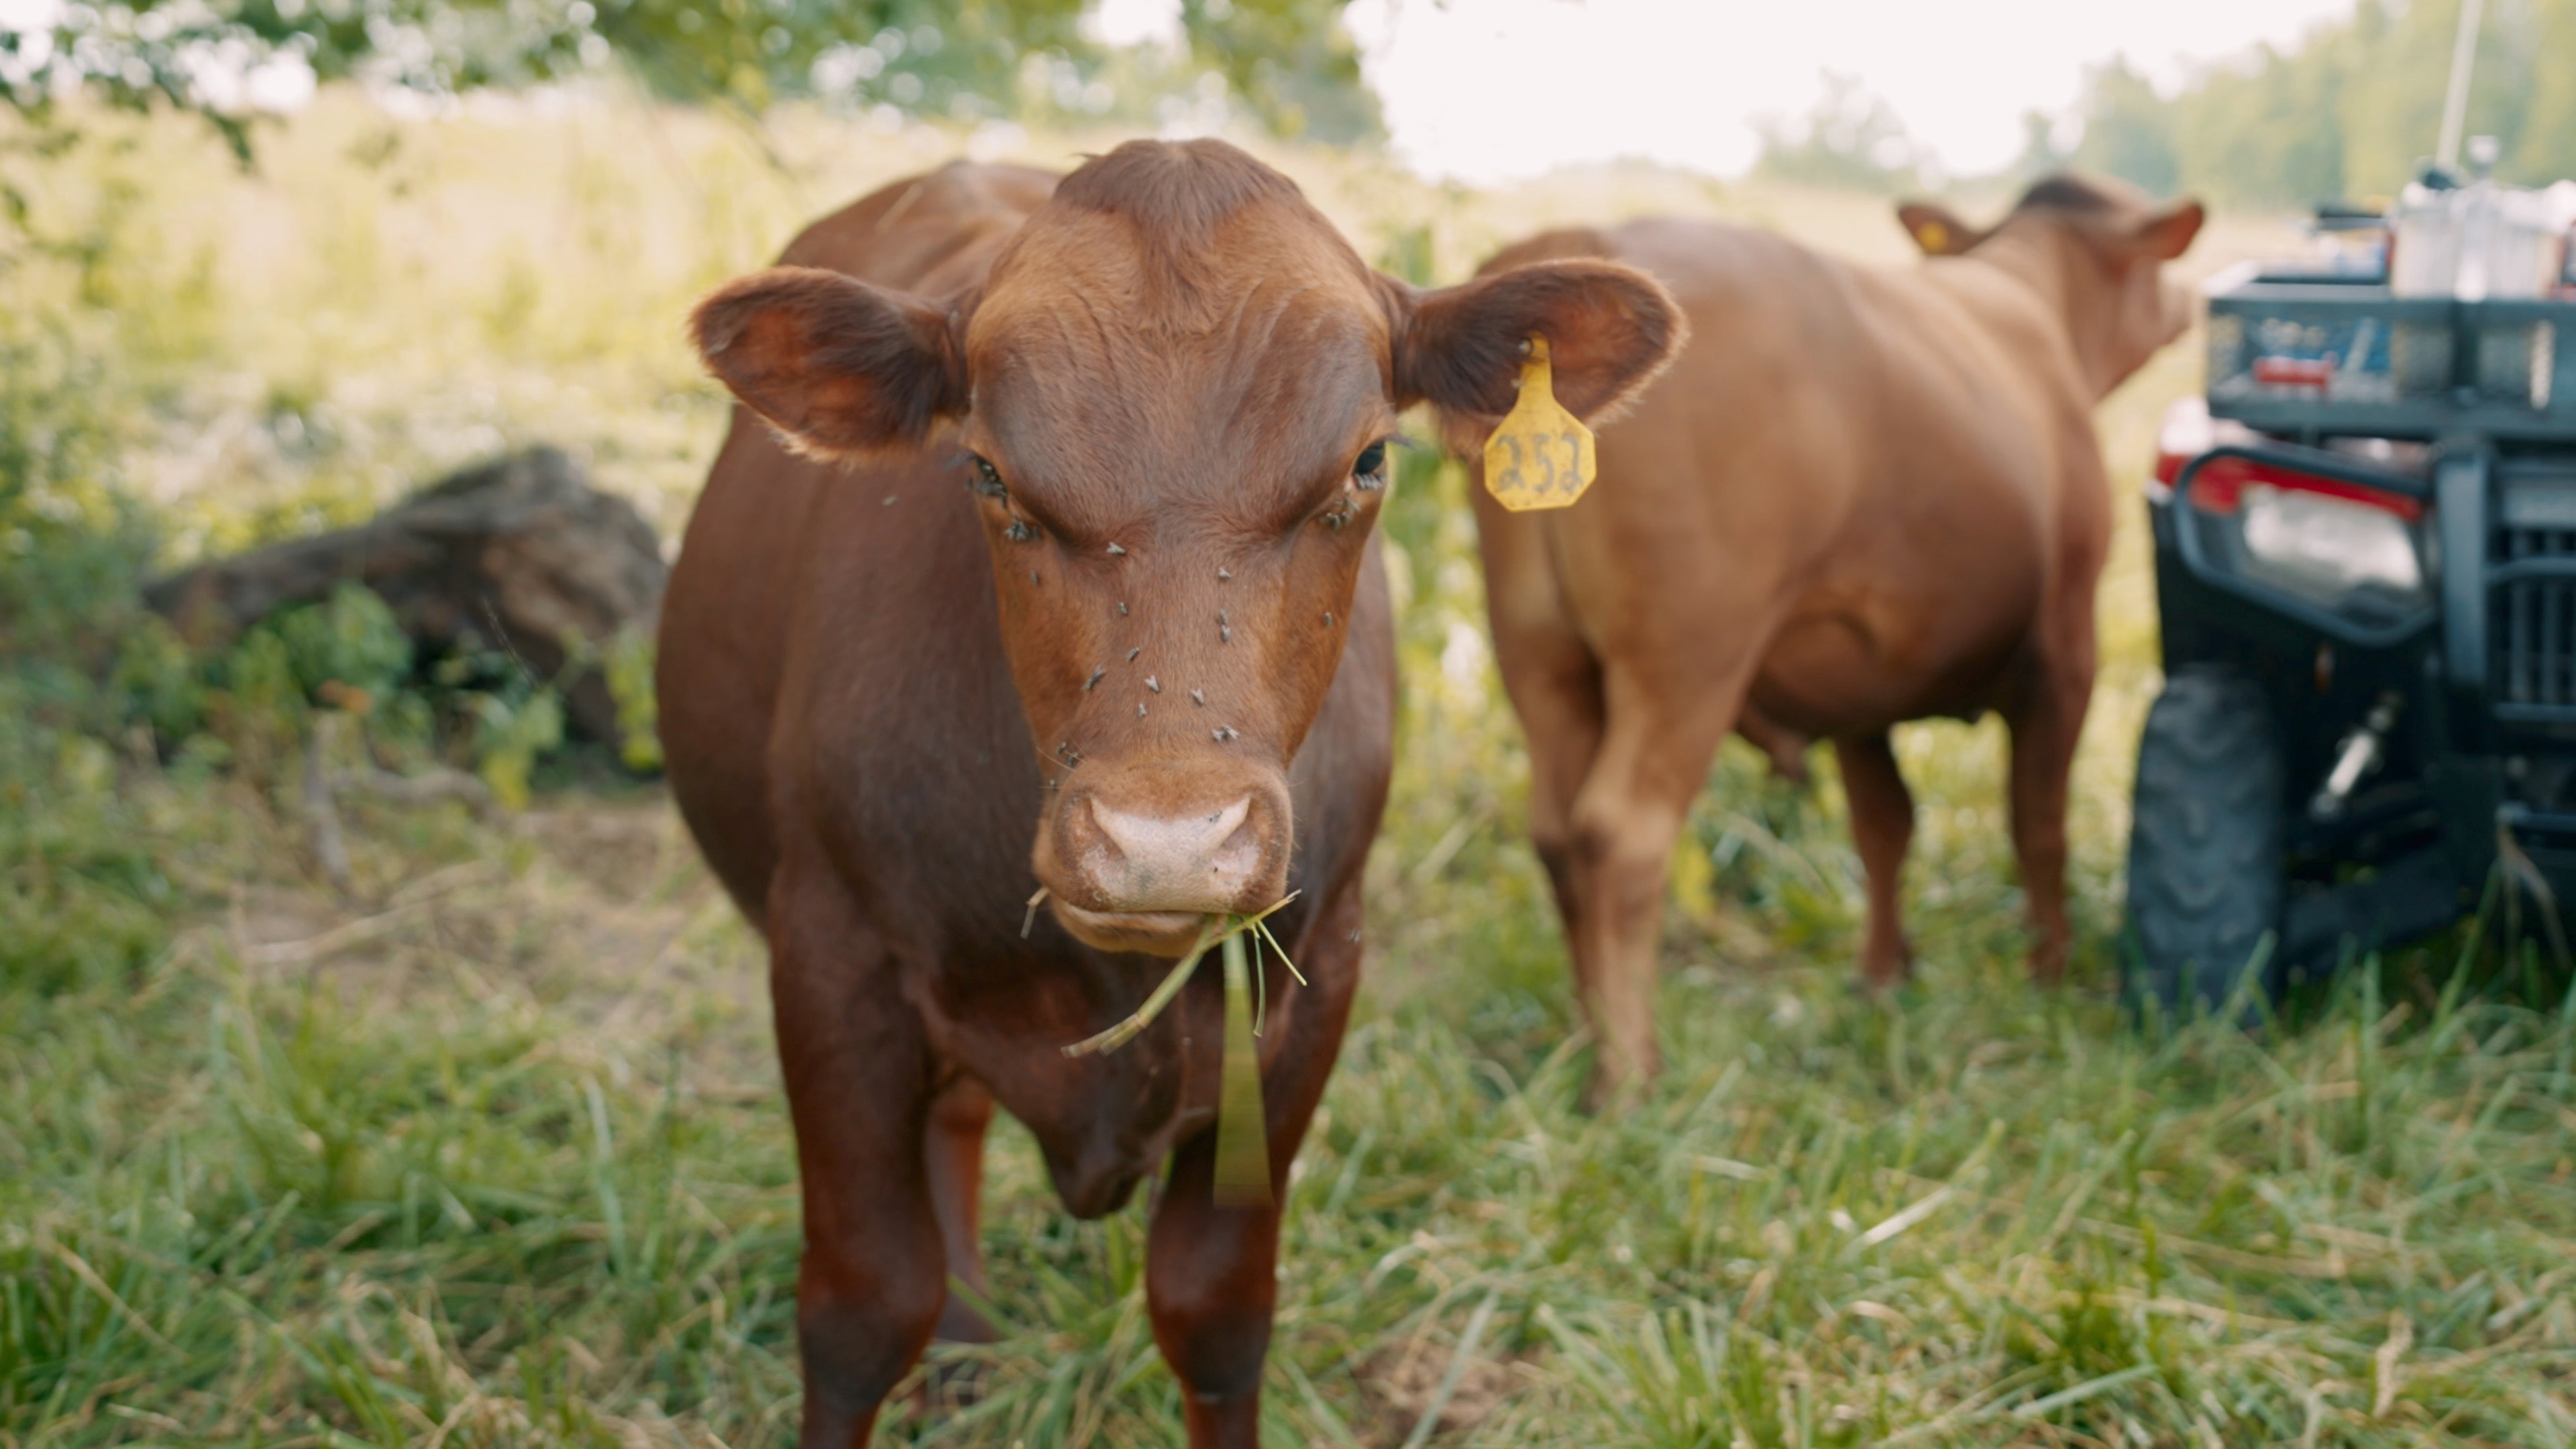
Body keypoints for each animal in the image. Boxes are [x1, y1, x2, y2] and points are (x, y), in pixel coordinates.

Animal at [655, 139, 1682, 1447]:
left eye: (1368, 461)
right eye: (986, 470)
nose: (1167, 847)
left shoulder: (1315, 977)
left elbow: (1218, 1309)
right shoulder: (829, 958)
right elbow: (860, 1308)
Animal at [1462, 174, 2203, 1102]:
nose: (2185, 304)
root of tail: (1581, 237)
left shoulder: (1856, 678)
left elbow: (1884, 826)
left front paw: (1883, 974)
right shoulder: (2066, 644)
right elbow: (2039, 823)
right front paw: (2050, 975)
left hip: (1540, 655)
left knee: (1560, 834)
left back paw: (1589, 1041)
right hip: (1689, 658)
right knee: (1620, 835)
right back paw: (1632, 1075)